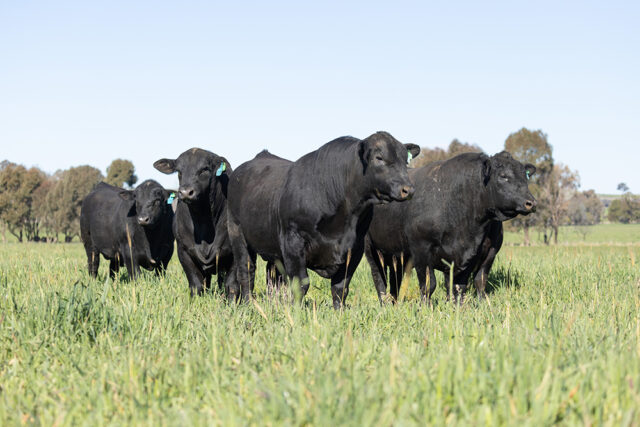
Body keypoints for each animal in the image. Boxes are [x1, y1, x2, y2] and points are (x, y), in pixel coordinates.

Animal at [153, 148, 236, 298]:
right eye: (179, 171)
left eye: (204, 169)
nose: (186, 192)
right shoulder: (183, 251)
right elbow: (196, 284)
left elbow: (231, 284)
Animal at [227, 131, 420, 309]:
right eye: (379, 157)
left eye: (406, 160)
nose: (408, 189)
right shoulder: (293, 240)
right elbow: (301, 284)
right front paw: (296, 313)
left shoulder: (355, 247)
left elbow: (340, 287)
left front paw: (338, 313)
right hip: (237, 233)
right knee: (246, 271)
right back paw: (248, 305)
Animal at [364, 151, 537, 305]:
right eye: (503, 176)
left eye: (525, 177)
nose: (531, 203)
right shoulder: (421, 249)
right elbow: (429, 285)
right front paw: (425, 309)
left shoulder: (482, 253)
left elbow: (468, 284)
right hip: (370, 247)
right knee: (378, 276)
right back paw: (384, 304)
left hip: (396, 252)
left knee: (395, 277)